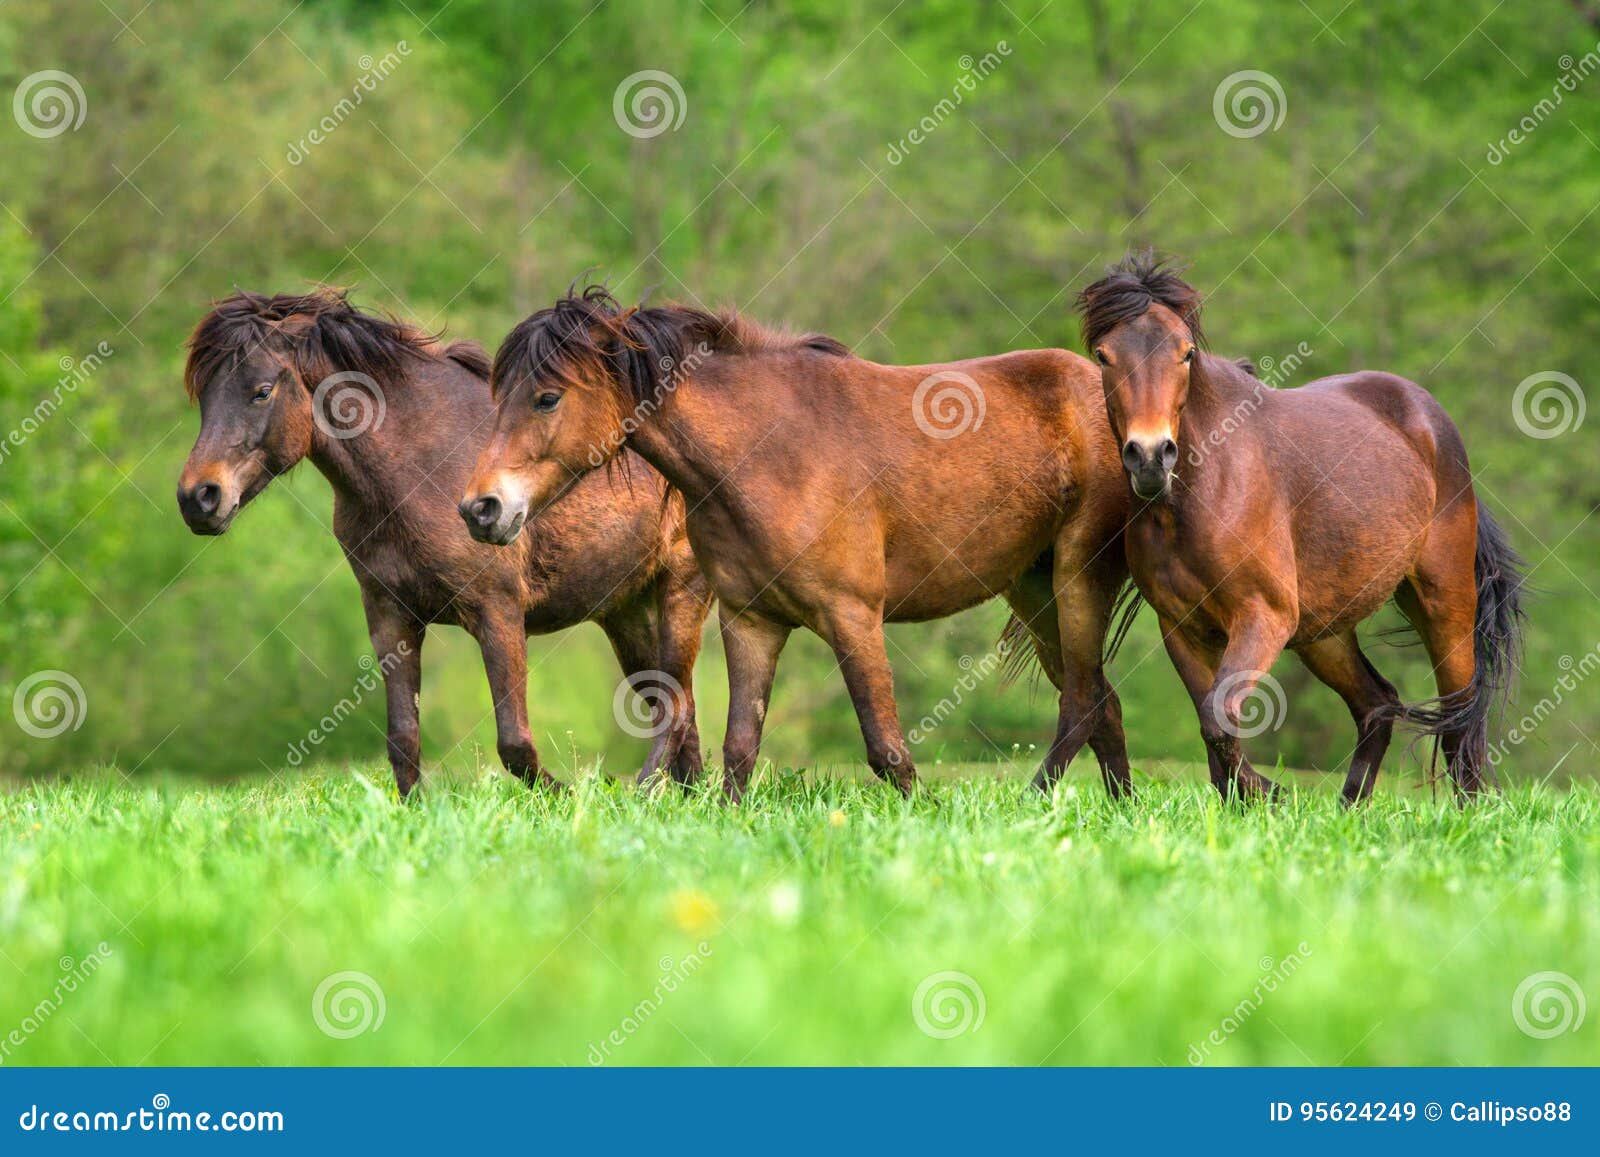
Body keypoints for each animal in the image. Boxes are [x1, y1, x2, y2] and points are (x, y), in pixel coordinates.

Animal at [175, 288, 712, 796]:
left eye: (261, 391)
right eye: (205, 396)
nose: (197, 498)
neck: (420, 467)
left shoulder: (498, 612)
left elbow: (514, 742)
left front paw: (566, 797)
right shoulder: (391, 619)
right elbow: (403, 740)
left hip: (680, 590)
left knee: (676, 706)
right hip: (627, 611)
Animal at [457, 285, 1138, 803]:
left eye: (548, 397)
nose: (480, 508)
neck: (769, 451)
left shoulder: (852, 615)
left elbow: (886, 747)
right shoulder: (750, 620)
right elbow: (740, 747)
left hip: (1078, 578)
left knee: (1083, 703)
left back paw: (1034, 803)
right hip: (1034, 590)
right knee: (1102, 702)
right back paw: (1121, 811)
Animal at [1077, 253, 1525, 803]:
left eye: (1185, 354)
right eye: (1104, 356)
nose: (1149, 456)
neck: (1204, 490)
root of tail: (1428, 419)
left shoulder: (1262, 617)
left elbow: (1219, 722)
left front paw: (1266, 796)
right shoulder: (1182, 627)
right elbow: (1212, 729)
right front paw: (1247, 801)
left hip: (1444, 602)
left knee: (1460, 719)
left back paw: (1467, 808)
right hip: (1323, 632)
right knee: (1377, 703)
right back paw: (1349, 809)